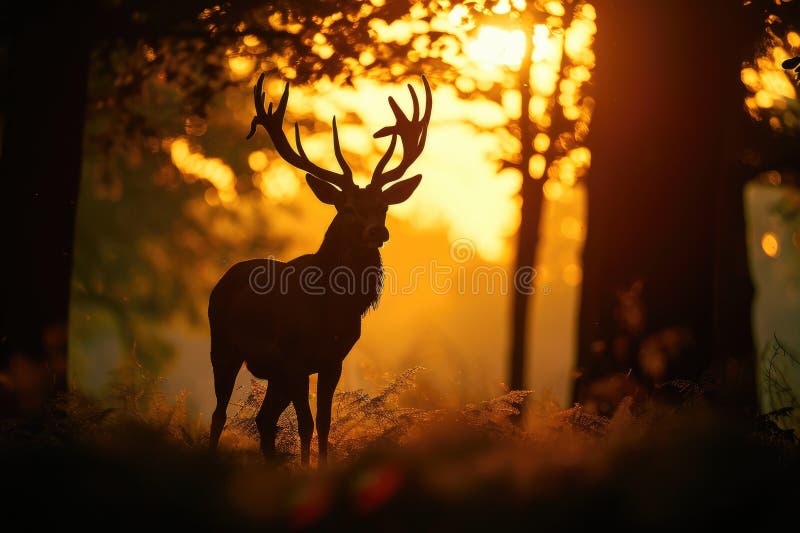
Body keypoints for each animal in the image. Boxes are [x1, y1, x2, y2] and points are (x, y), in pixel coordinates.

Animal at [208, 73, 432, 465]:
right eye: (348, 208)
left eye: (384, 206)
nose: (378, 231)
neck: (332, 308)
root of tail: (223, 280)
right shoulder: (295, 358)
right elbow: (306, 423)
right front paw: (306, 468)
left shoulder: (332, 360)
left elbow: (324, 422)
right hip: (223, 345)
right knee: (219, 414)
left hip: (273, 373)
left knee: (264, 420)